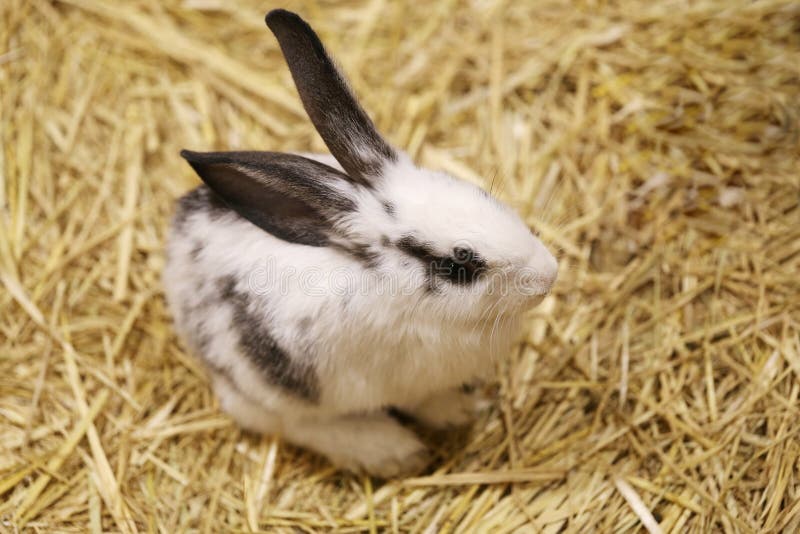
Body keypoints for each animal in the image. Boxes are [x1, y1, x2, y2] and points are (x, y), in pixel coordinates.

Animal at [163, 8, 558, 478]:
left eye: (483, 194)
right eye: (457, 266)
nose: (549, 274)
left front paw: (462, 411)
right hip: (264, 389)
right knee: (298, 425)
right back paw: (393, 451)